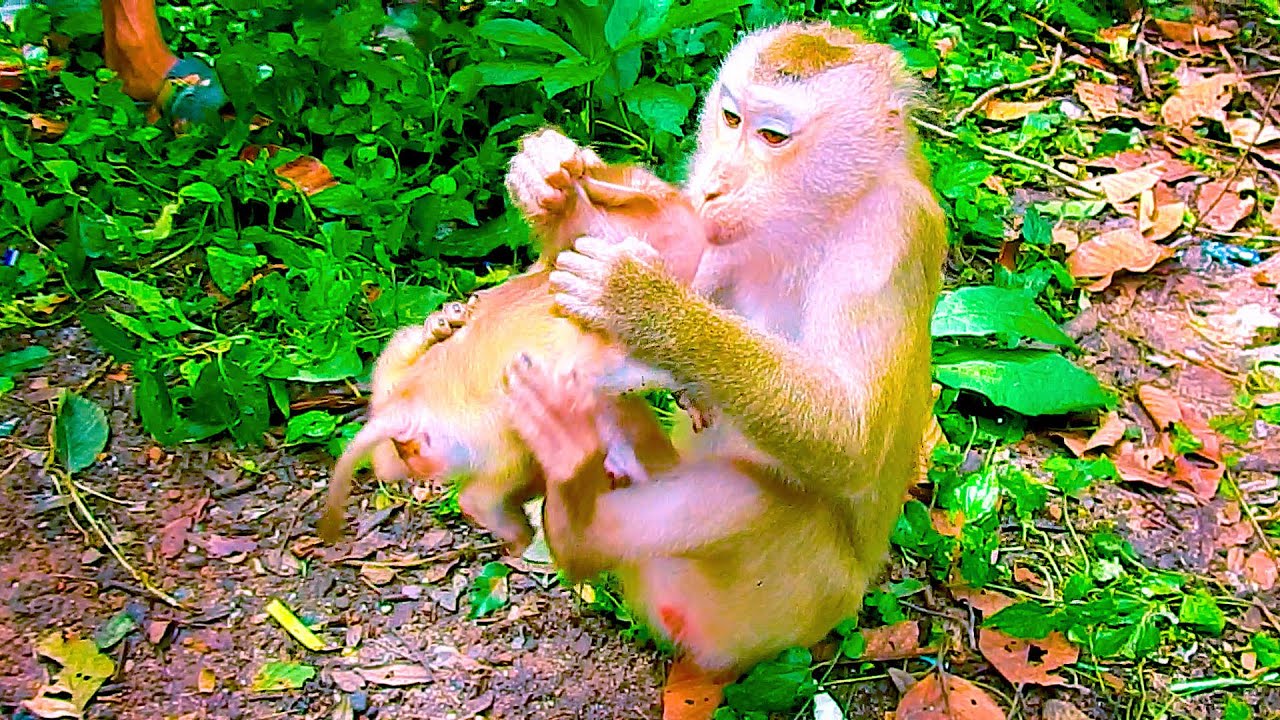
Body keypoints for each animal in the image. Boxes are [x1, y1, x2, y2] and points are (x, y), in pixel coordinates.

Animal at [501, 22, 949, 717]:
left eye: (773, 137)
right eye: (732, 118)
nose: (714, 182)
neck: (821, 212)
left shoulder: (888, 239)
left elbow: (851, 437)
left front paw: (640, 301)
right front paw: (546, 182)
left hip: (787, 610)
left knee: (748, 498)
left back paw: (578, 526)